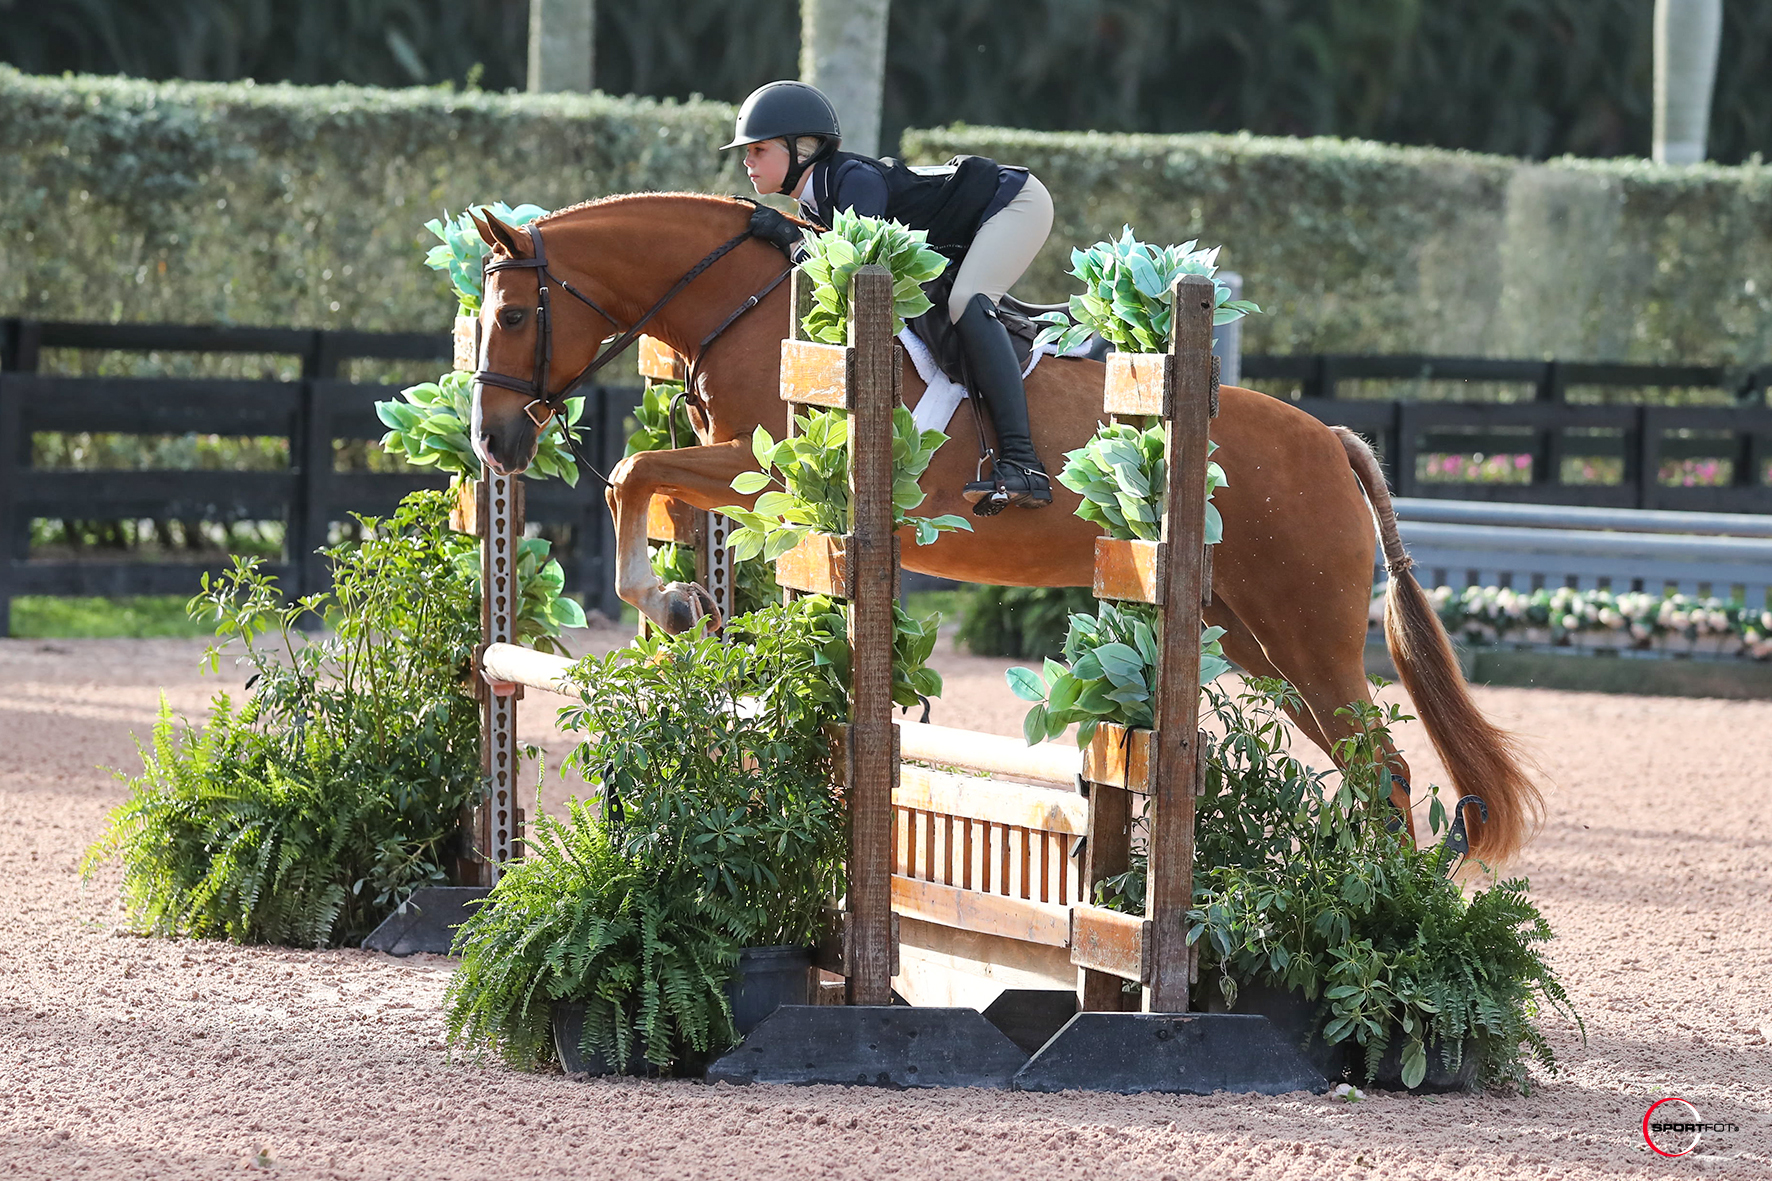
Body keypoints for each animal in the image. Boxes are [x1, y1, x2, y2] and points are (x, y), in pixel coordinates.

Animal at [466, 192, 1541, 865]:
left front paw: (665, 598)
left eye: (513, 317)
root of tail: (1329, 439)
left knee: (1382, 768)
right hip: (1254, 636)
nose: (492, 441)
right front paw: (686, 603)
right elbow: (649, 489)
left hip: (1306, 630)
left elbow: (627, 472)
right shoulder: (742, 477)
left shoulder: (764, 467)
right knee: (1371, 768)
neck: (748, 304)